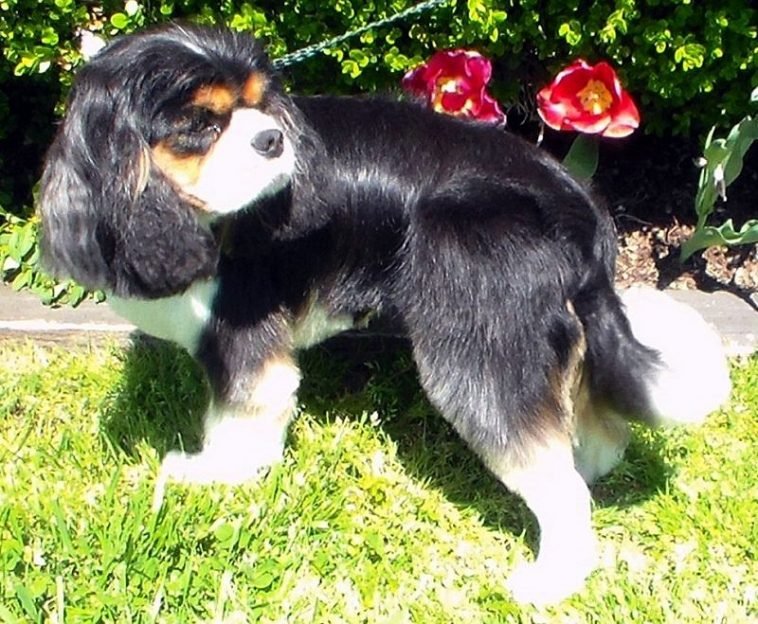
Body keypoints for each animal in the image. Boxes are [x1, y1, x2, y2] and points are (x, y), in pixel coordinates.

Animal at [37, 24, 736, 604]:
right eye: (198, 124)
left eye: (259, 107)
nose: (272, 137)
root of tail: (576, 205)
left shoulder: (243, 337)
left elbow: (238, 416)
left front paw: (215, 475)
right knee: (593, 427)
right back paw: (588, 467)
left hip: (478, 336)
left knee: (552, 477)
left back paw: (551, 580)